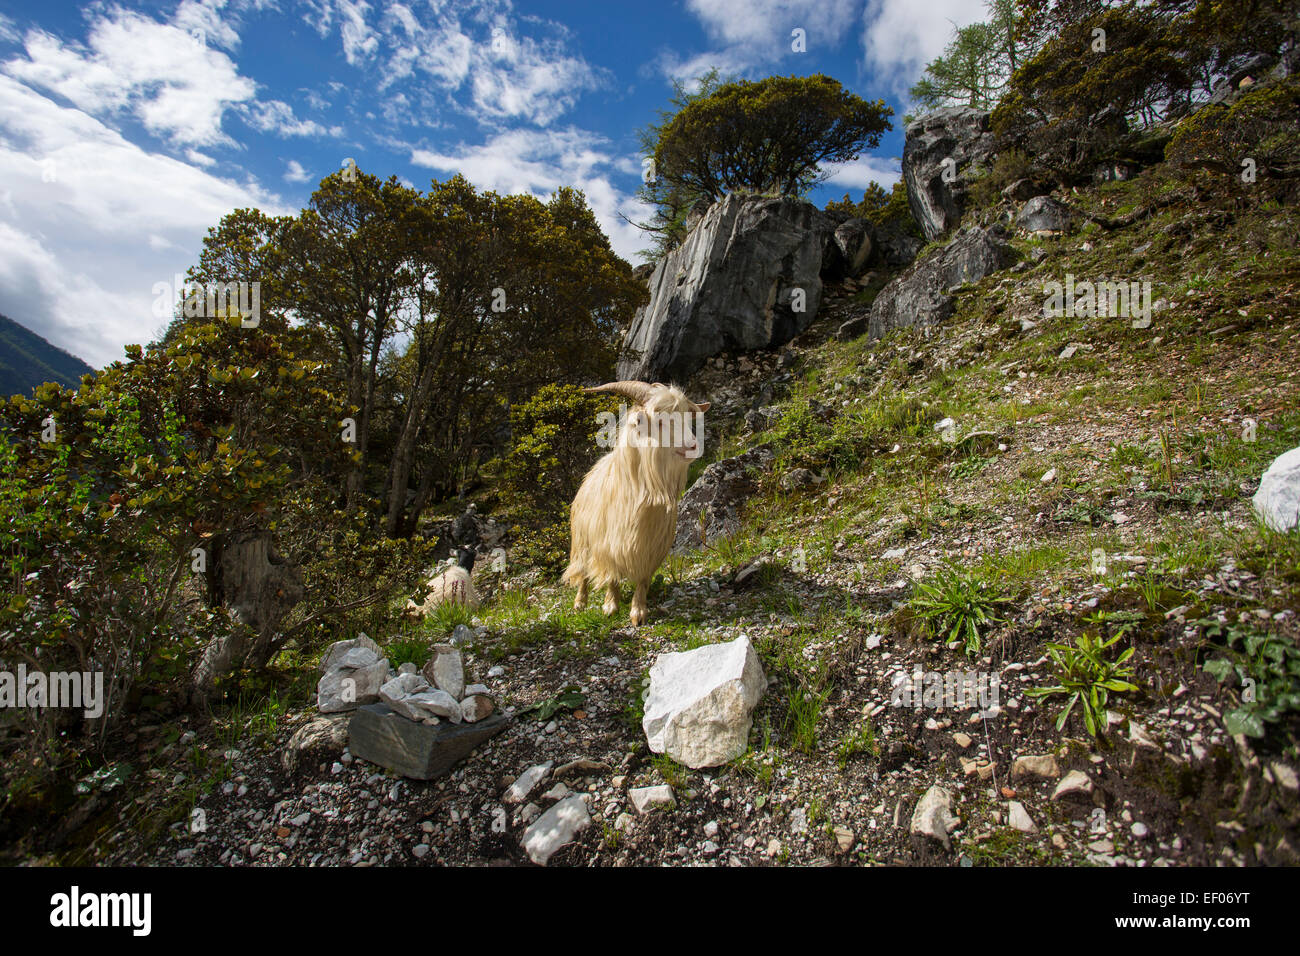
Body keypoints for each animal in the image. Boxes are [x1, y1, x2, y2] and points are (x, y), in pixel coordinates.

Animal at [562, 381, 709, 627]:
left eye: (687, 418)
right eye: (659, 421)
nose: (691, 446)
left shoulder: (651, 548)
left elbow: (642, 580)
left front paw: (638, 613)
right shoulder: (608, 543)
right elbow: (611, 576)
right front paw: (610, 606)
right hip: (582, 541)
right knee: (583, 573)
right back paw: (580, 603)